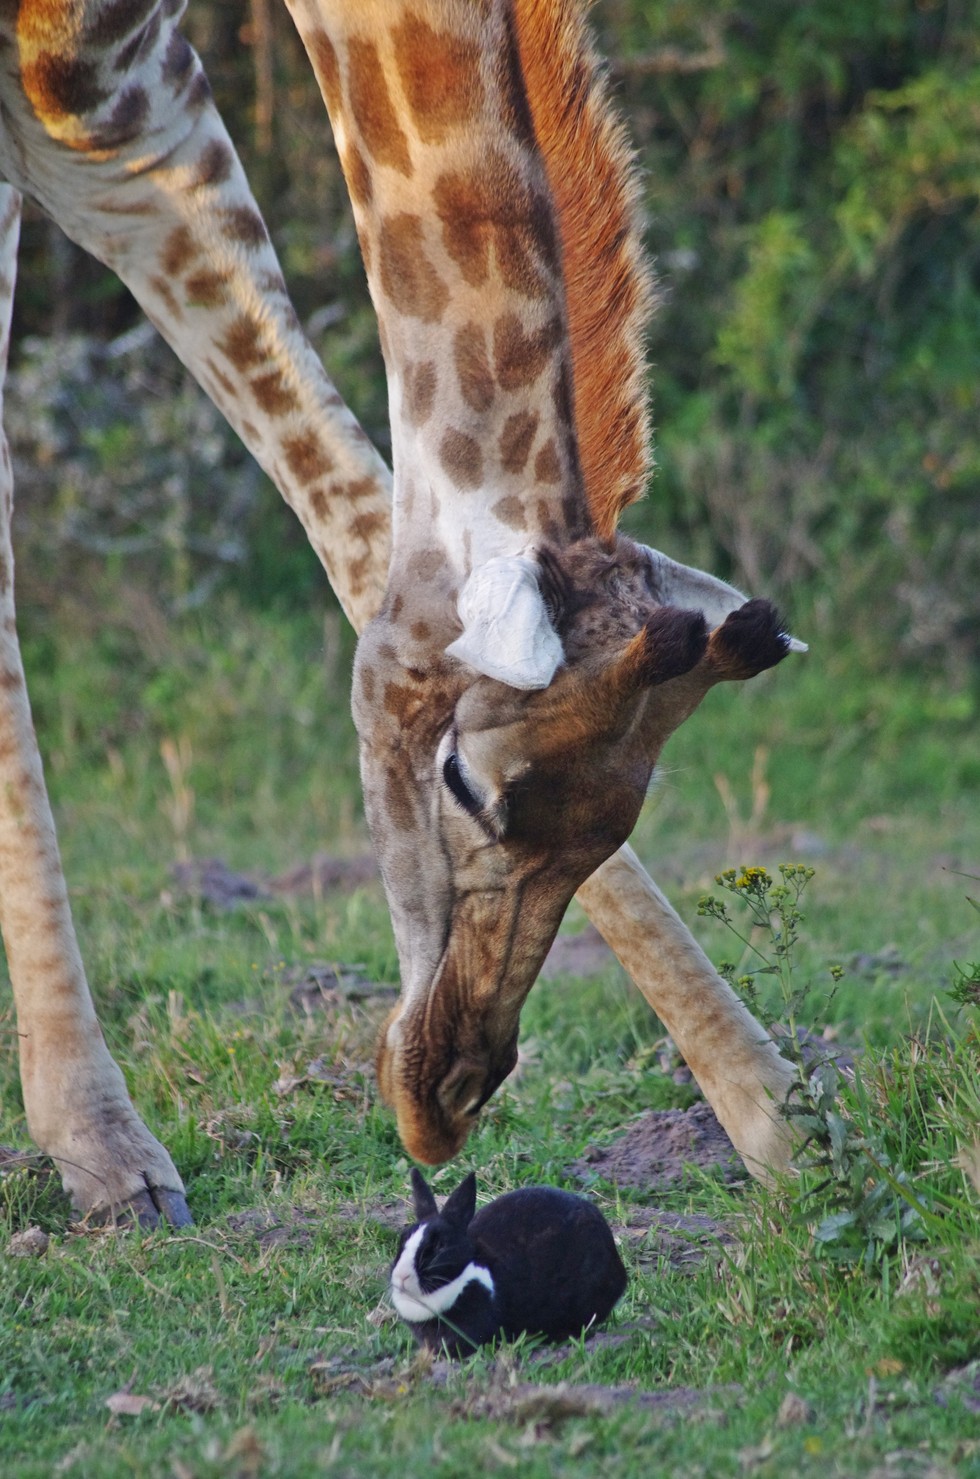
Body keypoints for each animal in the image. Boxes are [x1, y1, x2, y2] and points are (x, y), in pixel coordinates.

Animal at [0, 0, 800, 1225]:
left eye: (622, 821)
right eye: (464, 784)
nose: (445, 1095)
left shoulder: (117, 116)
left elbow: (355, 514)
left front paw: (781, 1113)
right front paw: (104, 1148)